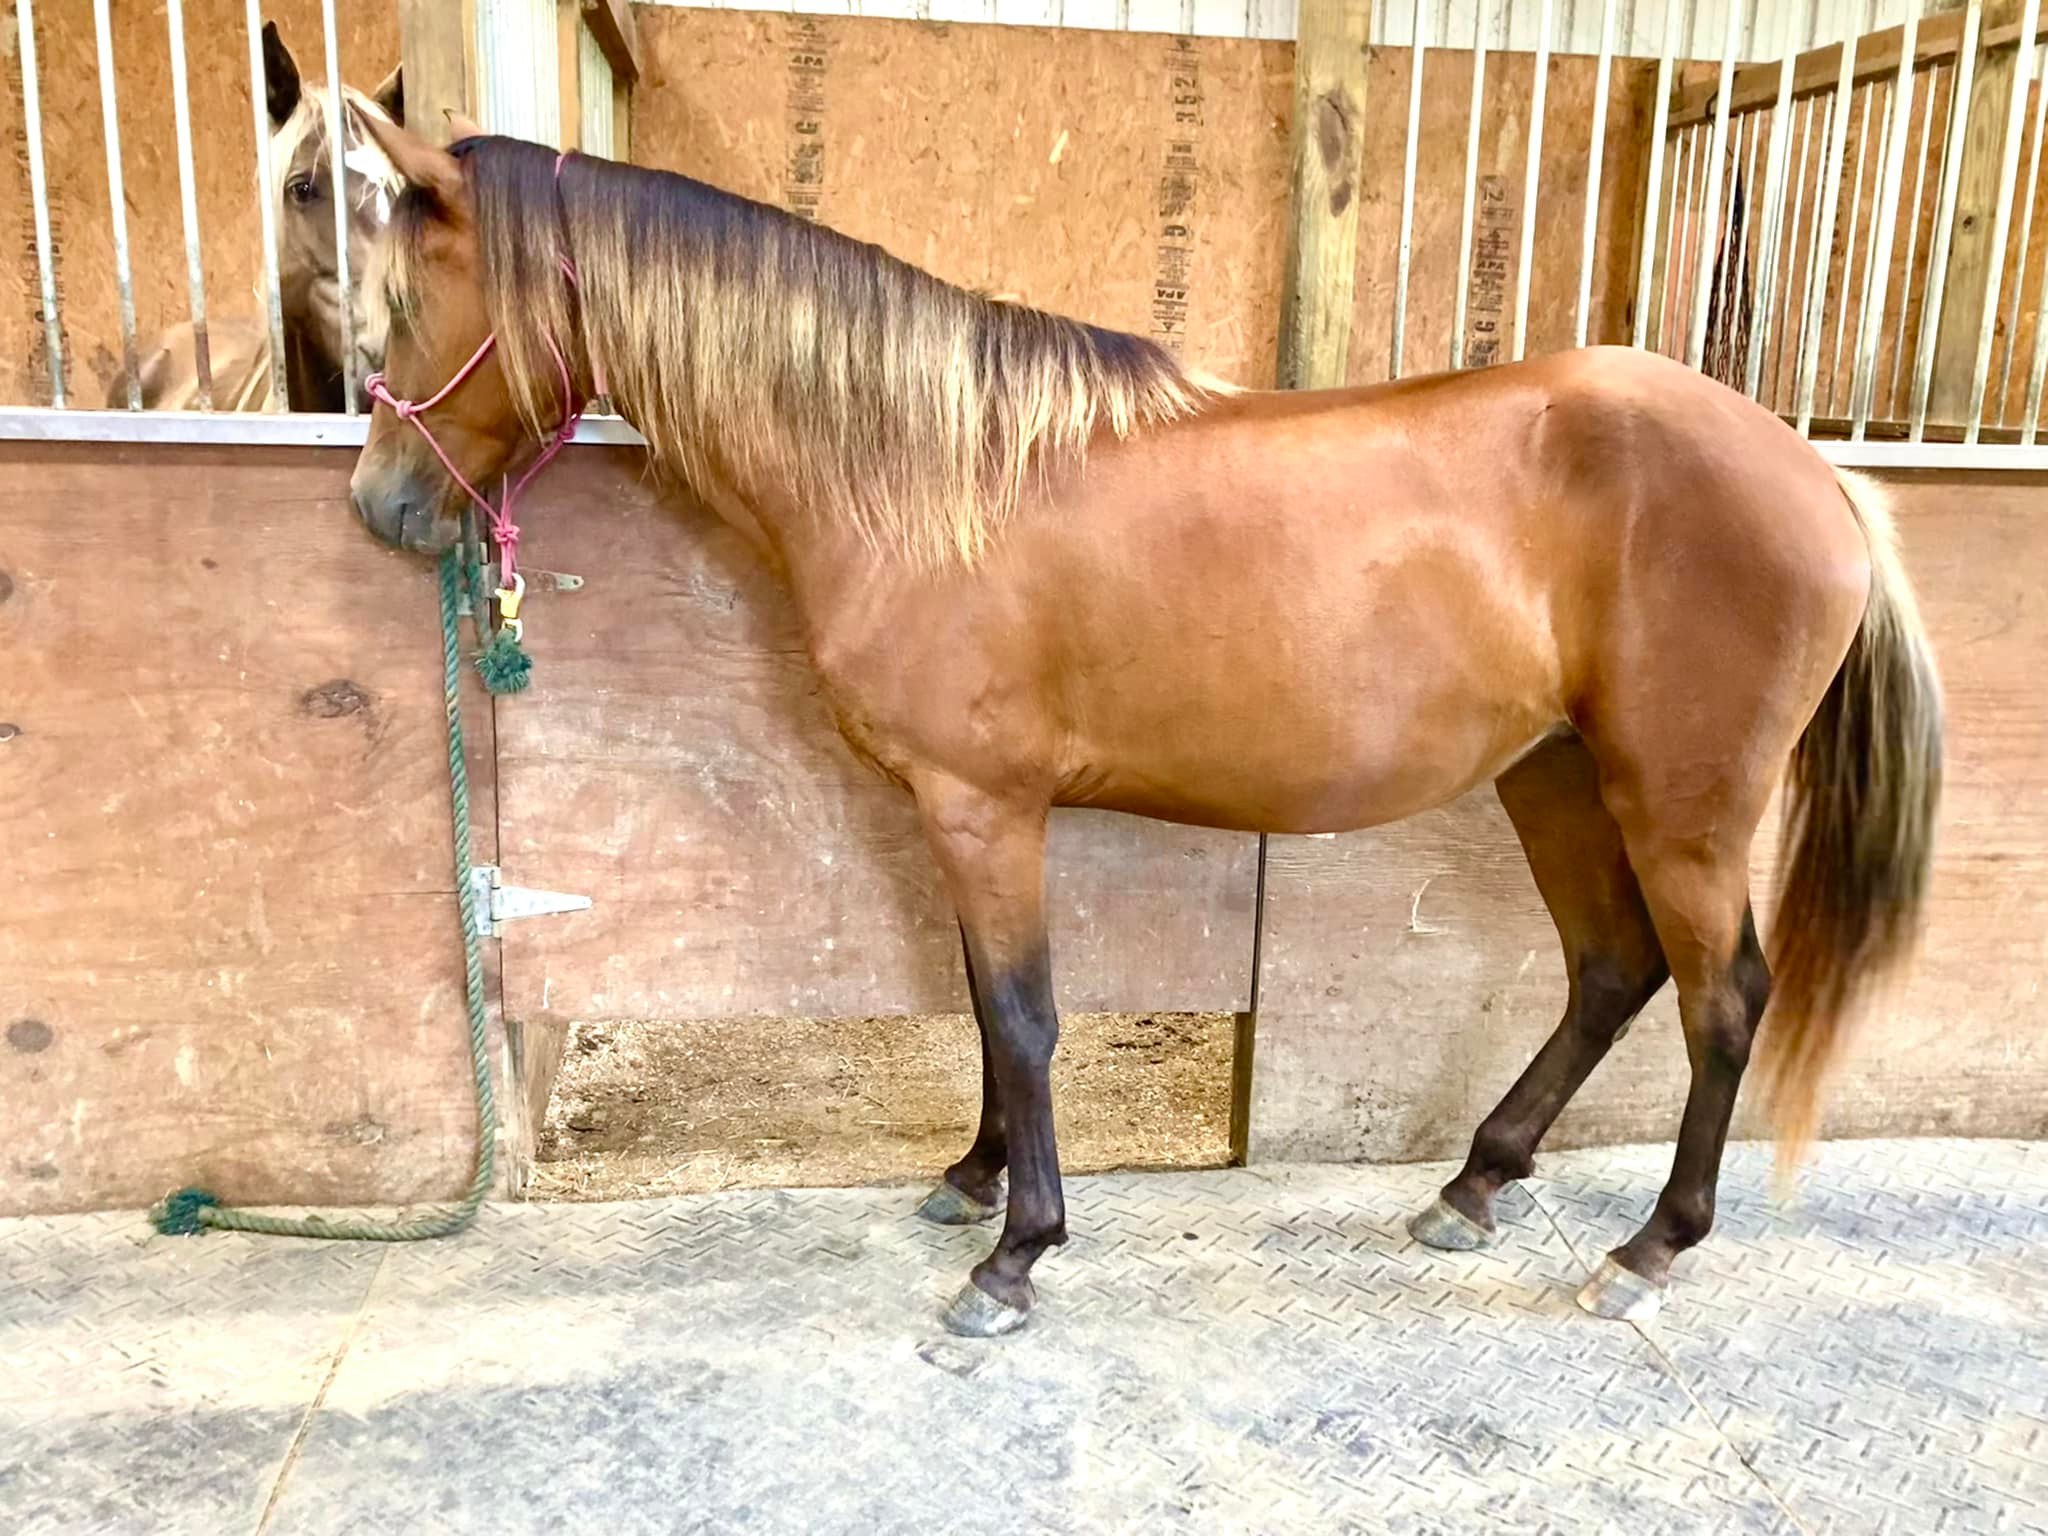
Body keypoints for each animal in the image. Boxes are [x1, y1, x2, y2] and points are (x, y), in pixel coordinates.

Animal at [346, 117, 1942, 1339]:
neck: (932, 472)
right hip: (1552, 775)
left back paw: (1650, 1247)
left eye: (404, 305)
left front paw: (1014, 1256)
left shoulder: (982, 804)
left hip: (1682, 801)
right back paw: (1475, 1185)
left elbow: (1022, 1016)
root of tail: (1814, 471)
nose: (381, 507)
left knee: (1722, 998)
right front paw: (976, 1180)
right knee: (1610, 970)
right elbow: (985, 1012)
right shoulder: (966, 812)